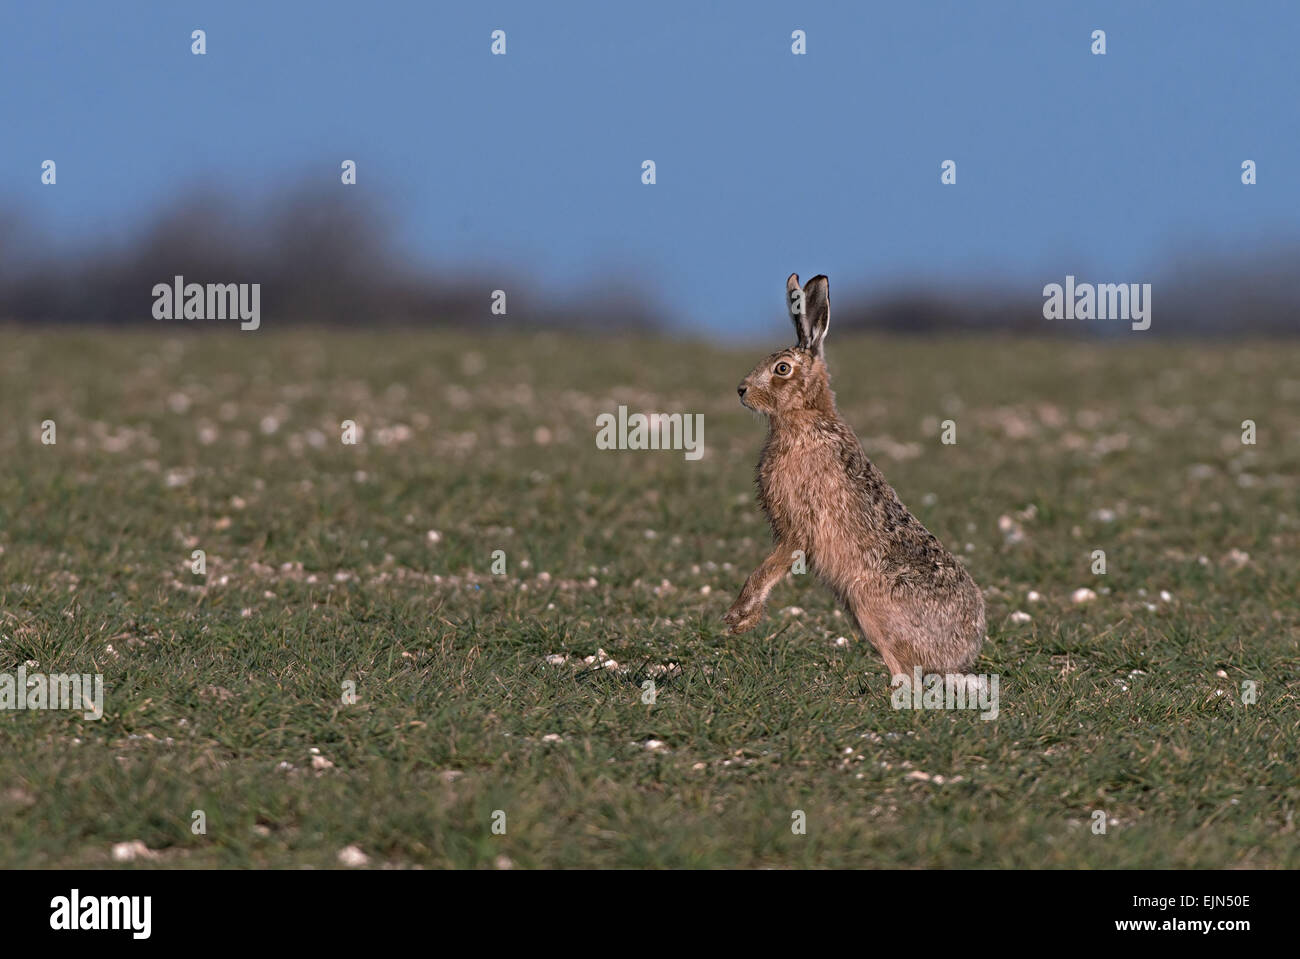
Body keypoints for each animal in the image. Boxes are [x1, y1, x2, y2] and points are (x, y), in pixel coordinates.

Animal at [723, 273, 985, 680]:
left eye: (782, 368)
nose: (741, 391)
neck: (805, 420)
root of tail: (962, 653)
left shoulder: (799, 528)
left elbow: (770, 568)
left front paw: (740, 618)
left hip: (869, 606)